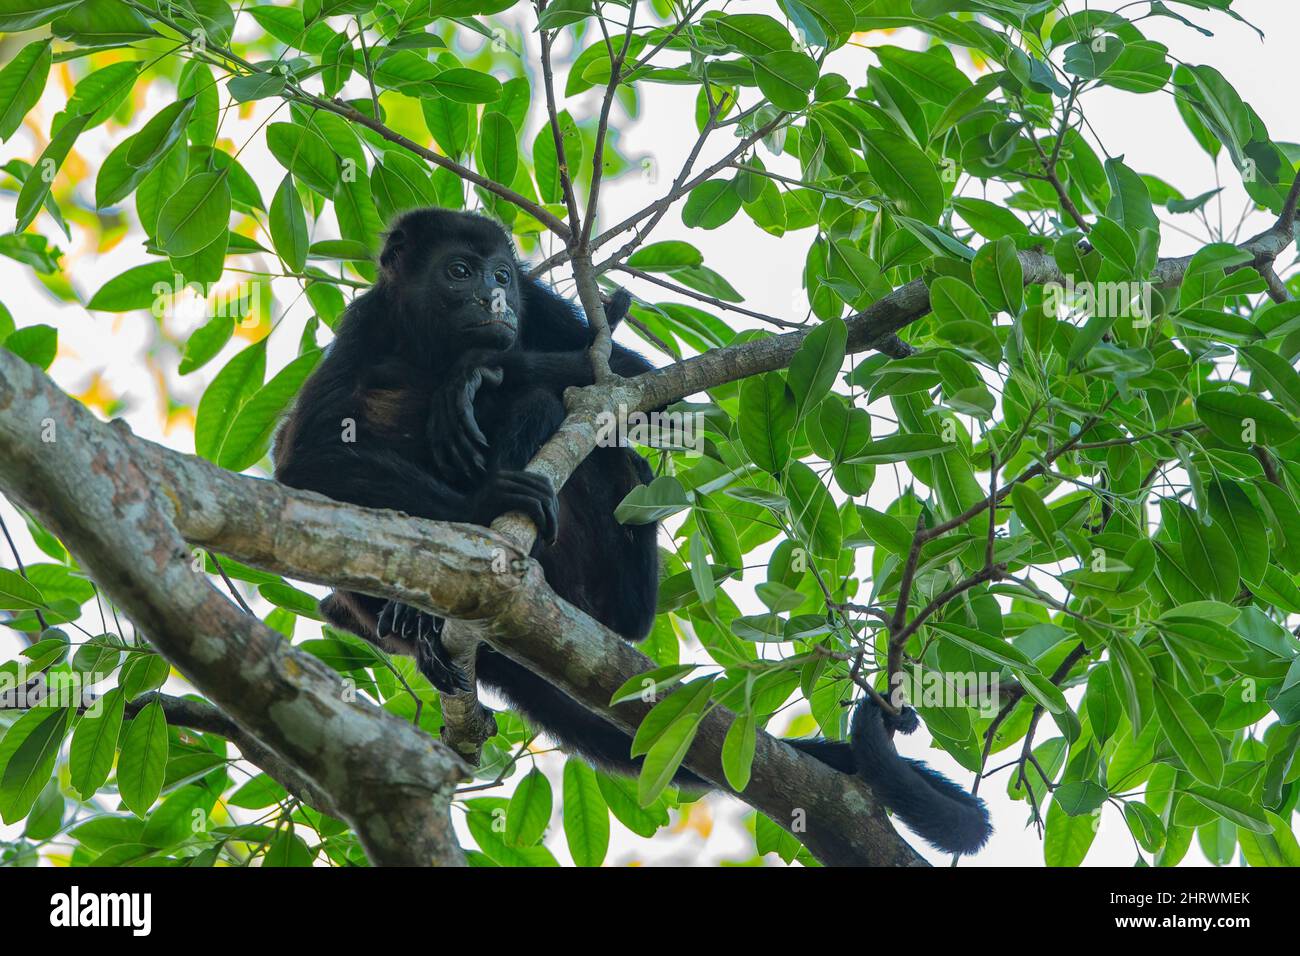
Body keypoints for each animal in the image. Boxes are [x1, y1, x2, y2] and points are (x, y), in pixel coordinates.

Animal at [272, 207, 991, 857]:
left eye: (501, 274)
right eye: (458, 271)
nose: (493, 299)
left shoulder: (539, 304)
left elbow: (652, 392)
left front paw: (475, 372)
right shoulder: (364, 323)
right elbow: (307, 458)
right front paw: (480, 493)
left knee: (563, 422)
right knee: (339, 590)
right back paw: (410, 619)